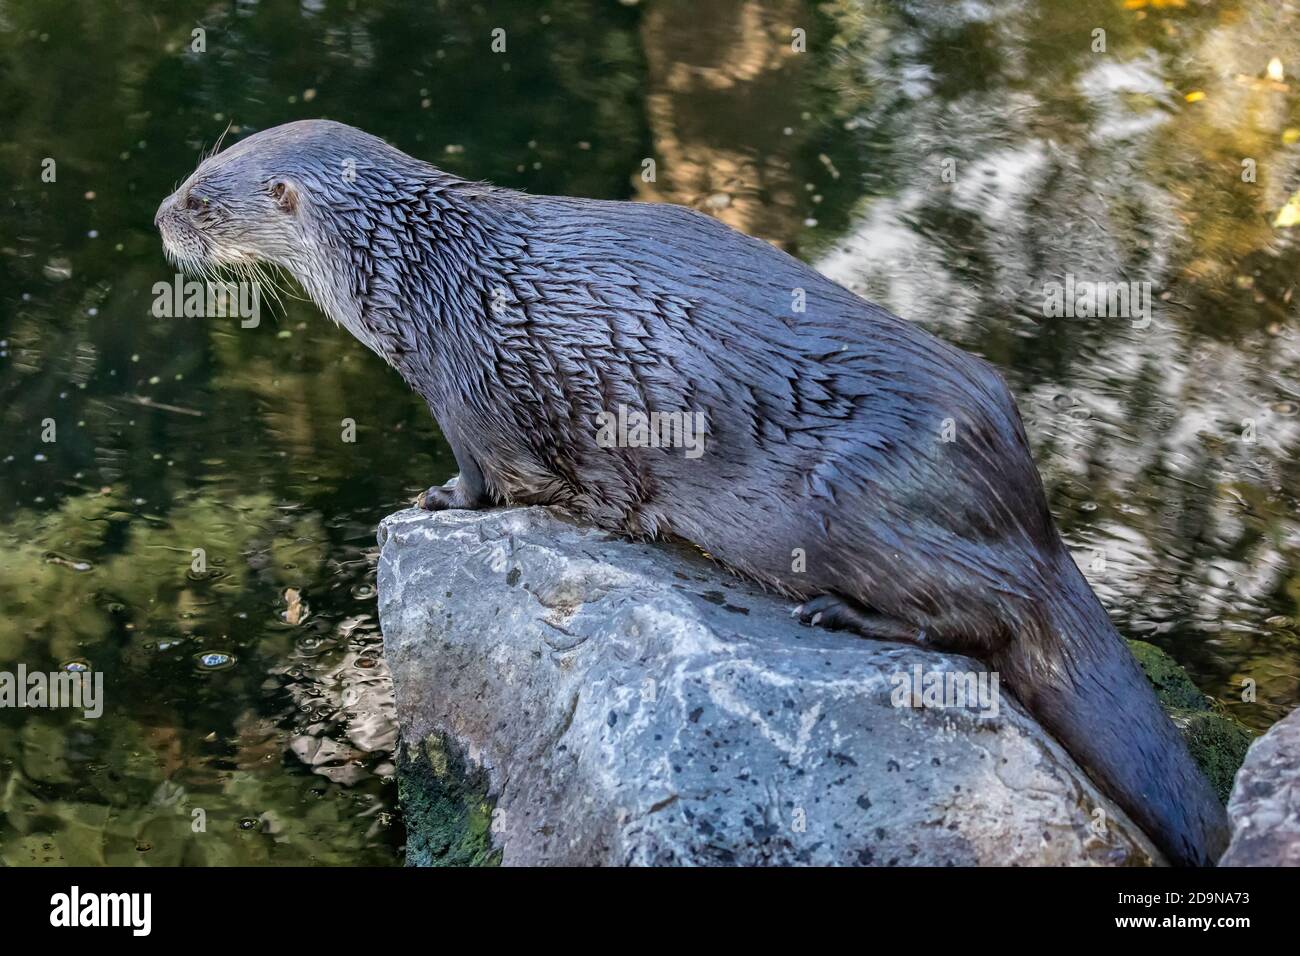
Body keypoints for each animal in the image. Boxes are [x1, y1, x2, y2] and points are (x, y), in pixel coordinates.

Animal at [156, 119, 1228, 866]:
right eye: (195, 167)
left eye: (205, 196)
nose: (162, 219)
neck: (423, 273)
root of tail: (1031, 509)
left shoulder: (460, 383)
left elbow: (485, 473)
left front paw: (439, 503)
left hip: (853, 496)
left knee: (990, 615)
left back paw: (847, 616)